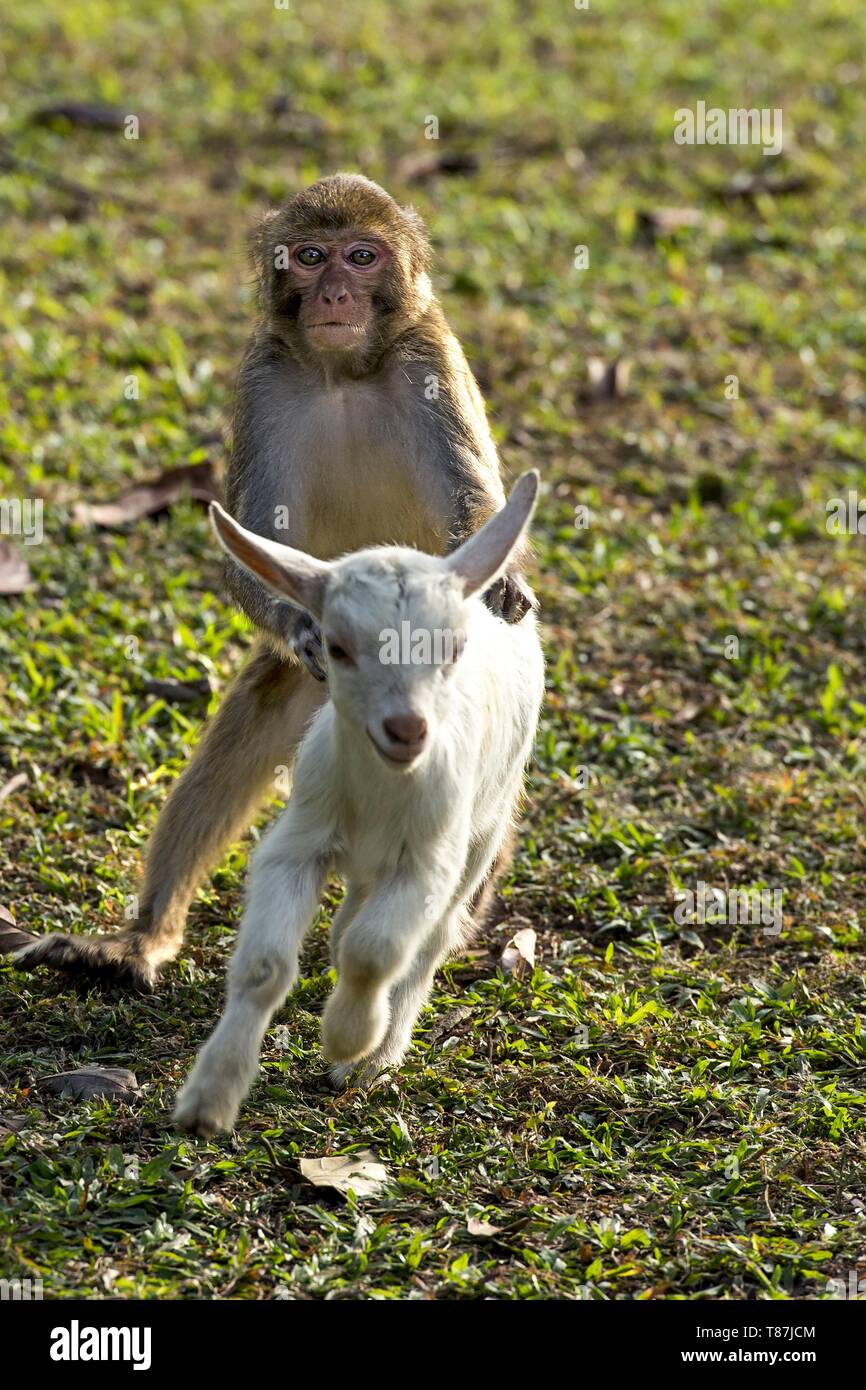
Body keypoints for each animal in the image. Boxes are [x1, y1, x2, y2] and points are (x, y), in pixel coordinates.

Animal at [14, 174, 535, 991]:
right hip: (309, 693)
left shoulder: (429, 357)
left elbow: (473, 505)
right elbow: (252, 540)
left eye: (362, 256)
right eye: (311, 256)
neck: (343, 372)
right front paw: (300, 622)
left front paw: (502, 579)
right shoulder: (263, 376)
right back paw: (143, 938)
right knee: (249, 726)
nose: (334, 296)